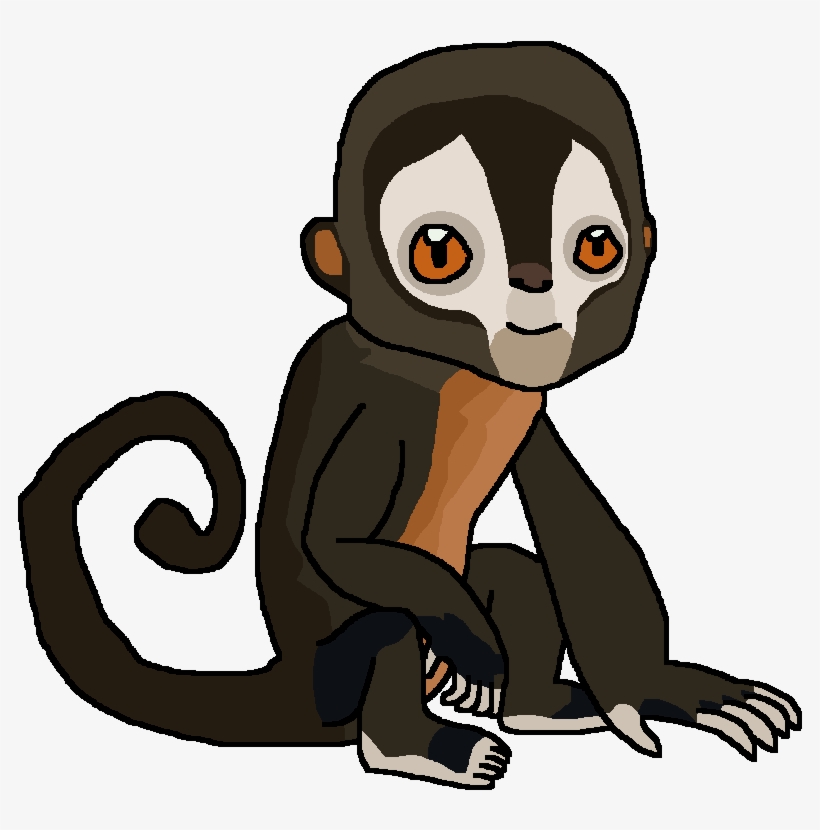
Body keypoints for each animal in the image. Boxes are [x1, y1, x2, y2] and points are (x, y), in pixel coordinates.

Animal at [19, 43, 800, 790]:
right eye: (439, 252)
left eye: (596, 246)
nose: (534, 285)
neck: (450, 369)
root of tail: (288, 683)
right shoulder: (390, 402)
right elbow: (334, 541)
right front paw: (472, 637)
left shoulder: (527, 399)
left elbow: (569, 526)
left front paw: (660, 689)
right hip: (333, 678)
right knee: (393, 620)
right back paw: (420, 746)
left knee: (515, 573)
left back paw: (533, 705)